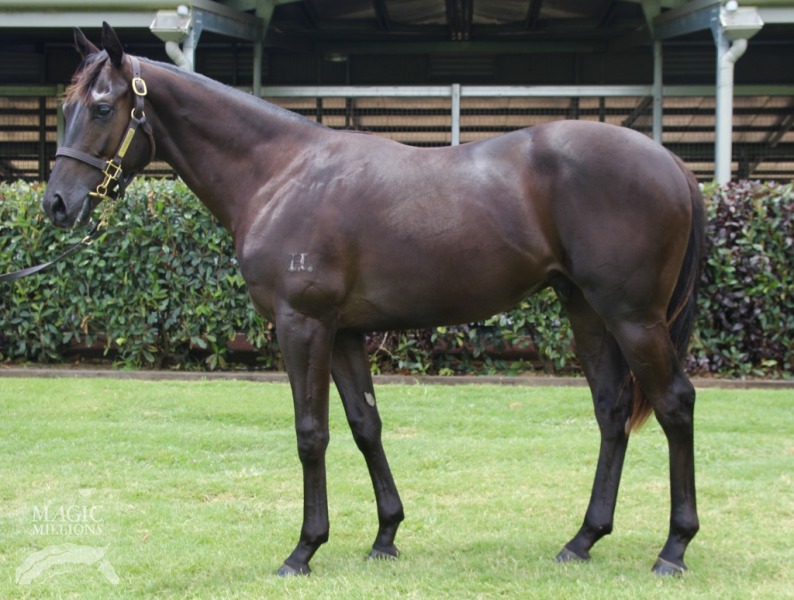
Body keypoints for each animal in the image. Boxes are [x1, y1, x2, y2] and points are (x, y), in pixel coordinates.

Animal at [42, 24, 706, 577]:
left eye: (102, 107)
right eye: (65, 107)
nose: (57, 204)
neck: (281, 173)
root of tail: (671, 161)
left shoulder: (302, 325)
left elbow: (311, 432)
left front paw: (304, 550)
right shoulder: (343, 332)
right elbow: (366, 425)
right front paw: (386, 536)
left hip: (633, 318)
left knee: (674, 405)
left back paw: (673, 549)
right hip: (587, 311)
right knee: (611, 412)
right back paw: (582, 540)